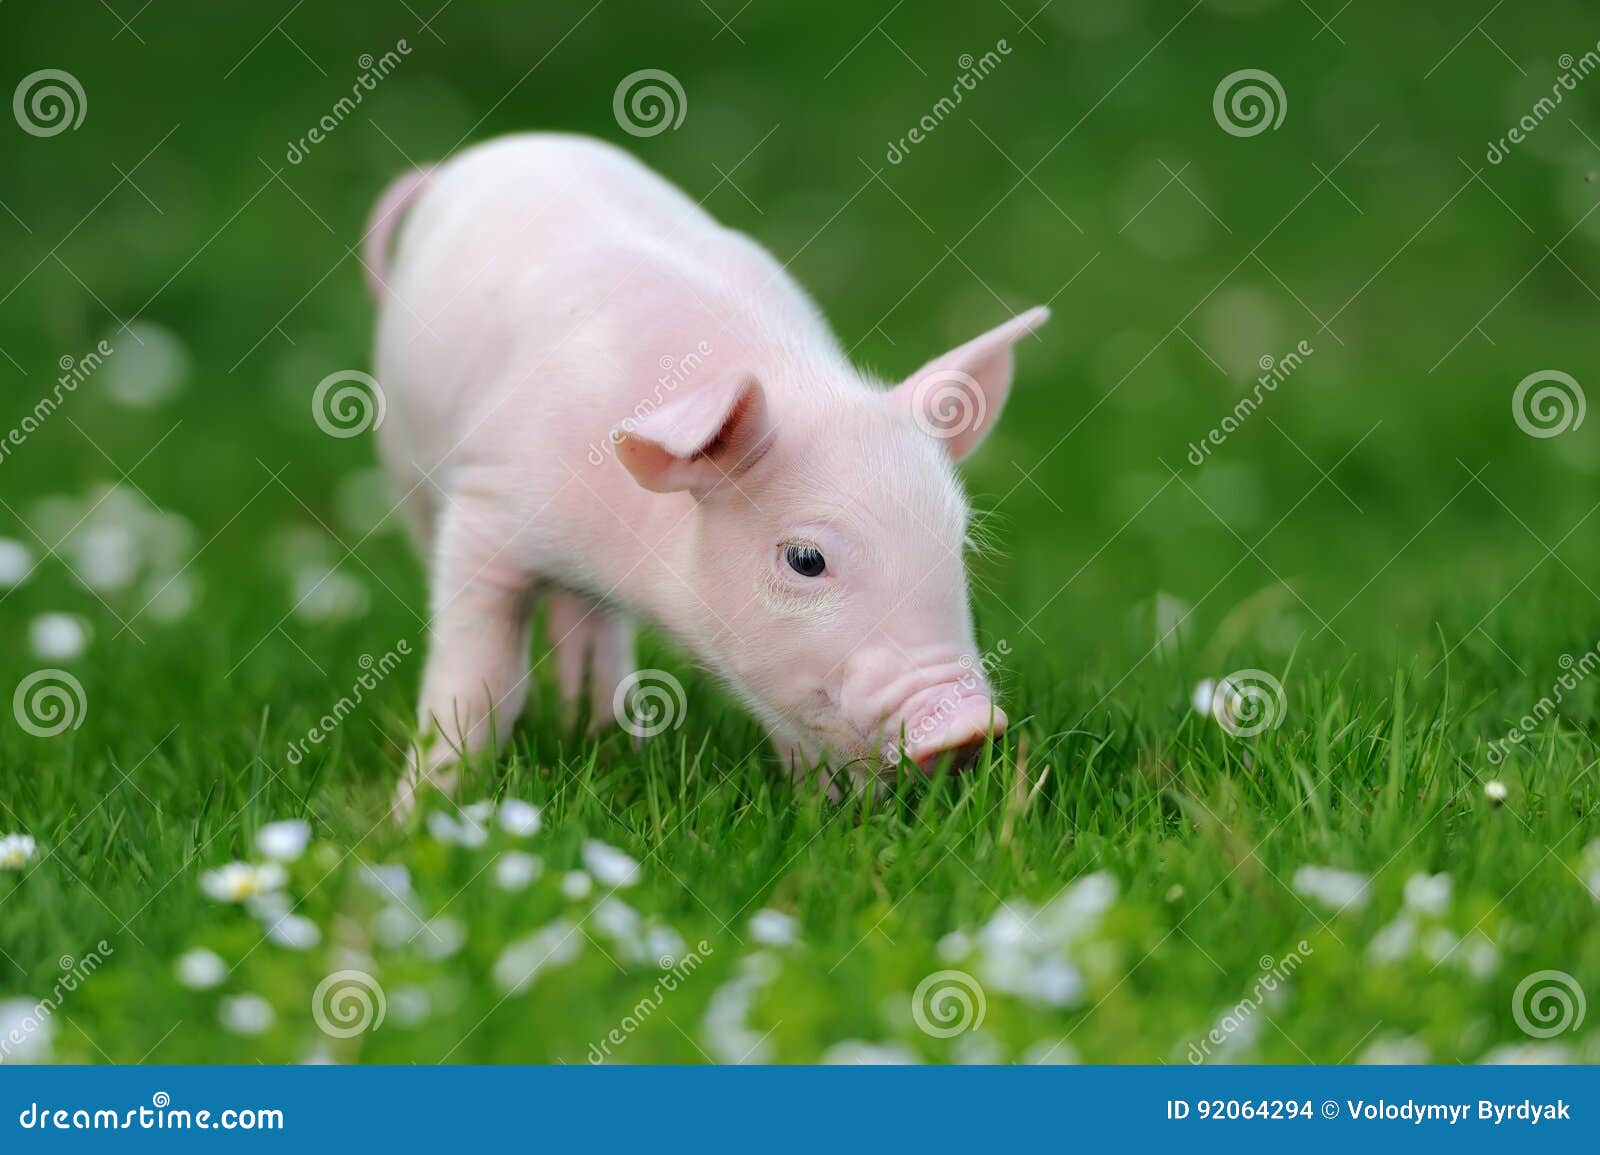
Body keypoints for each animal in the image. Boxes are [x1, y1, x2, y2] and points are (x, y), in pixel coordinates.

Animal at [364, 133, 1048, 816]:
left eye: (955, 546)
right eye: (805, 559)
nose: (971, 725)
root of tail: (478, 156)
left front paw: (823, 814)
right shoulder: (484, 512)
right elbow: (473, 680)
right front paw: (420, 815)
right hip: (404, 462)